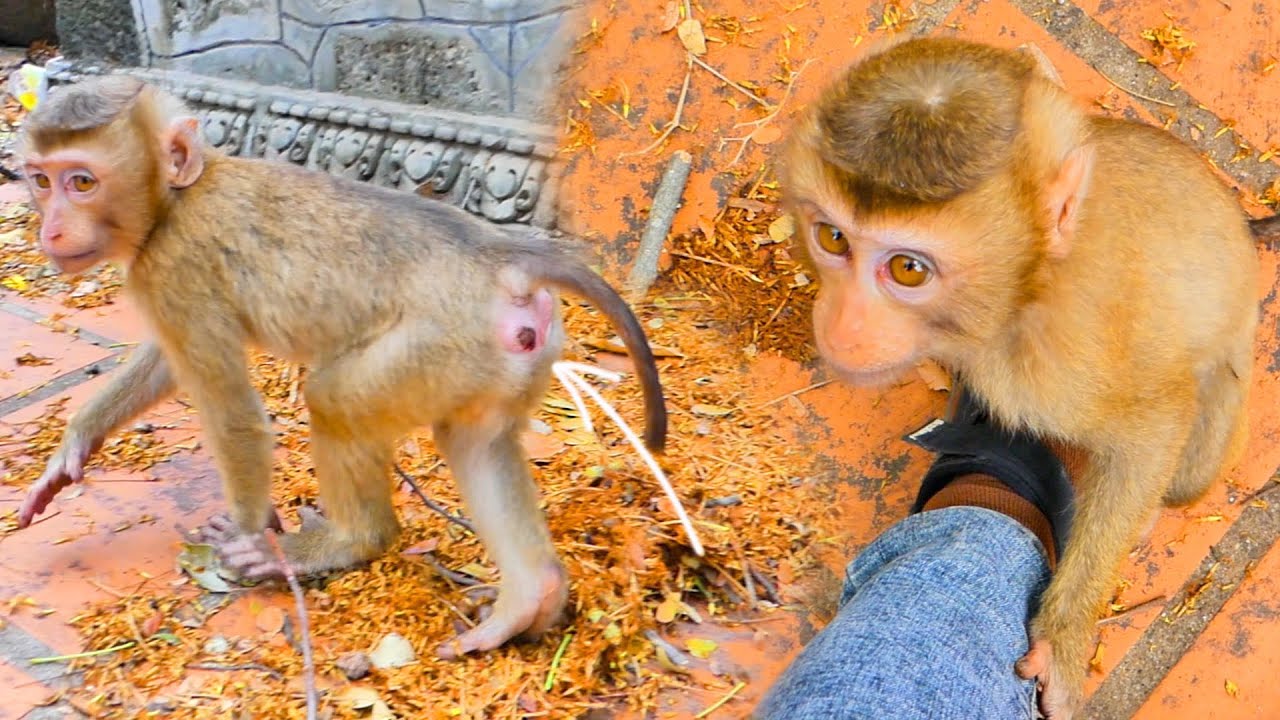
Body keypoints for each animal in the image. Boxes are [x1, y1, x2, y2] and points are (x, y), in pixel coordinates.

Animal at [13, 75, 667, 659]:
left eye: (81, 182)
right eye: (40, 181)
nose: (51, 228)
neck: (176, 199)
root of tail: (498, 255)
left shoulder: (172, 268)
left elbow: (233, 415)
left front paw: (249, 533)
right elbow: (167, 364)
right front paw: (75, 443)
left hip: (435, 342)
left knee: (334, 398)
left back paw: (347, 543)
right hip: (500, 357)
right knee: (473, 439)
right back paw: (531, 597)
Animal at [777, 36, 1262, 717]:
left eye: (906, 269)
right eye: (832, 237)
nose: (841, 327)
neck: (1029, 287)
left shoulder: (1068, 358)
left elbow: (1155, 426)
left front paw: (1064, 634)